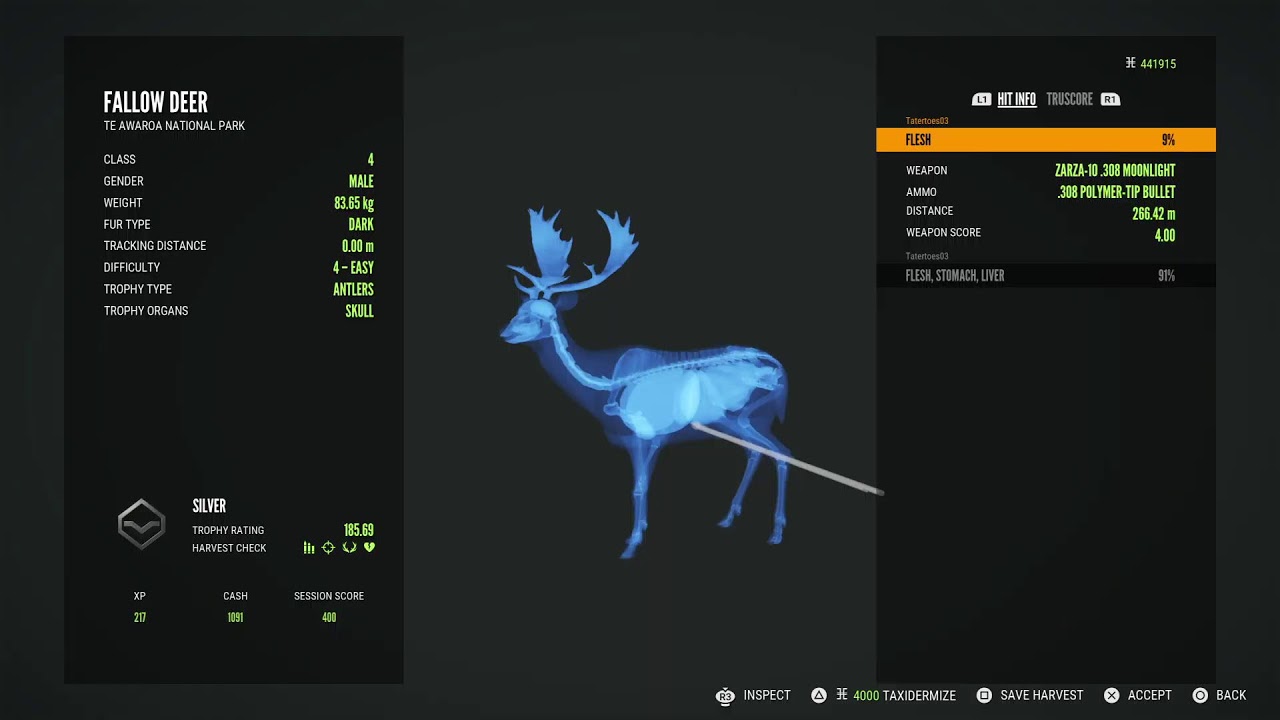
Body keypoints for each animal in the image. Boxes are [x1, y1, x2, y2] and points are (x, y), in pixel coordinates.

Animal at [501, 208, 791, 559]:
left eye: (541, 316)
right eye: (520, 309)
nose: (505, 333)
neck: (602, 384)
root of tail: (777, 367)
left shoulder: (637, 435)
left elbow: (638, 487)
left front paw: (631, 545)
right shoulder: (656, 438)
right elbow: (646, 482)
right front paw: (640, 531)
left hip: (747, 416)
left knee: (782, 453)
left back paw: (776, 532)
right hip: (737, 420)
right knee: (756, 452)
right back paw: (728, 517)